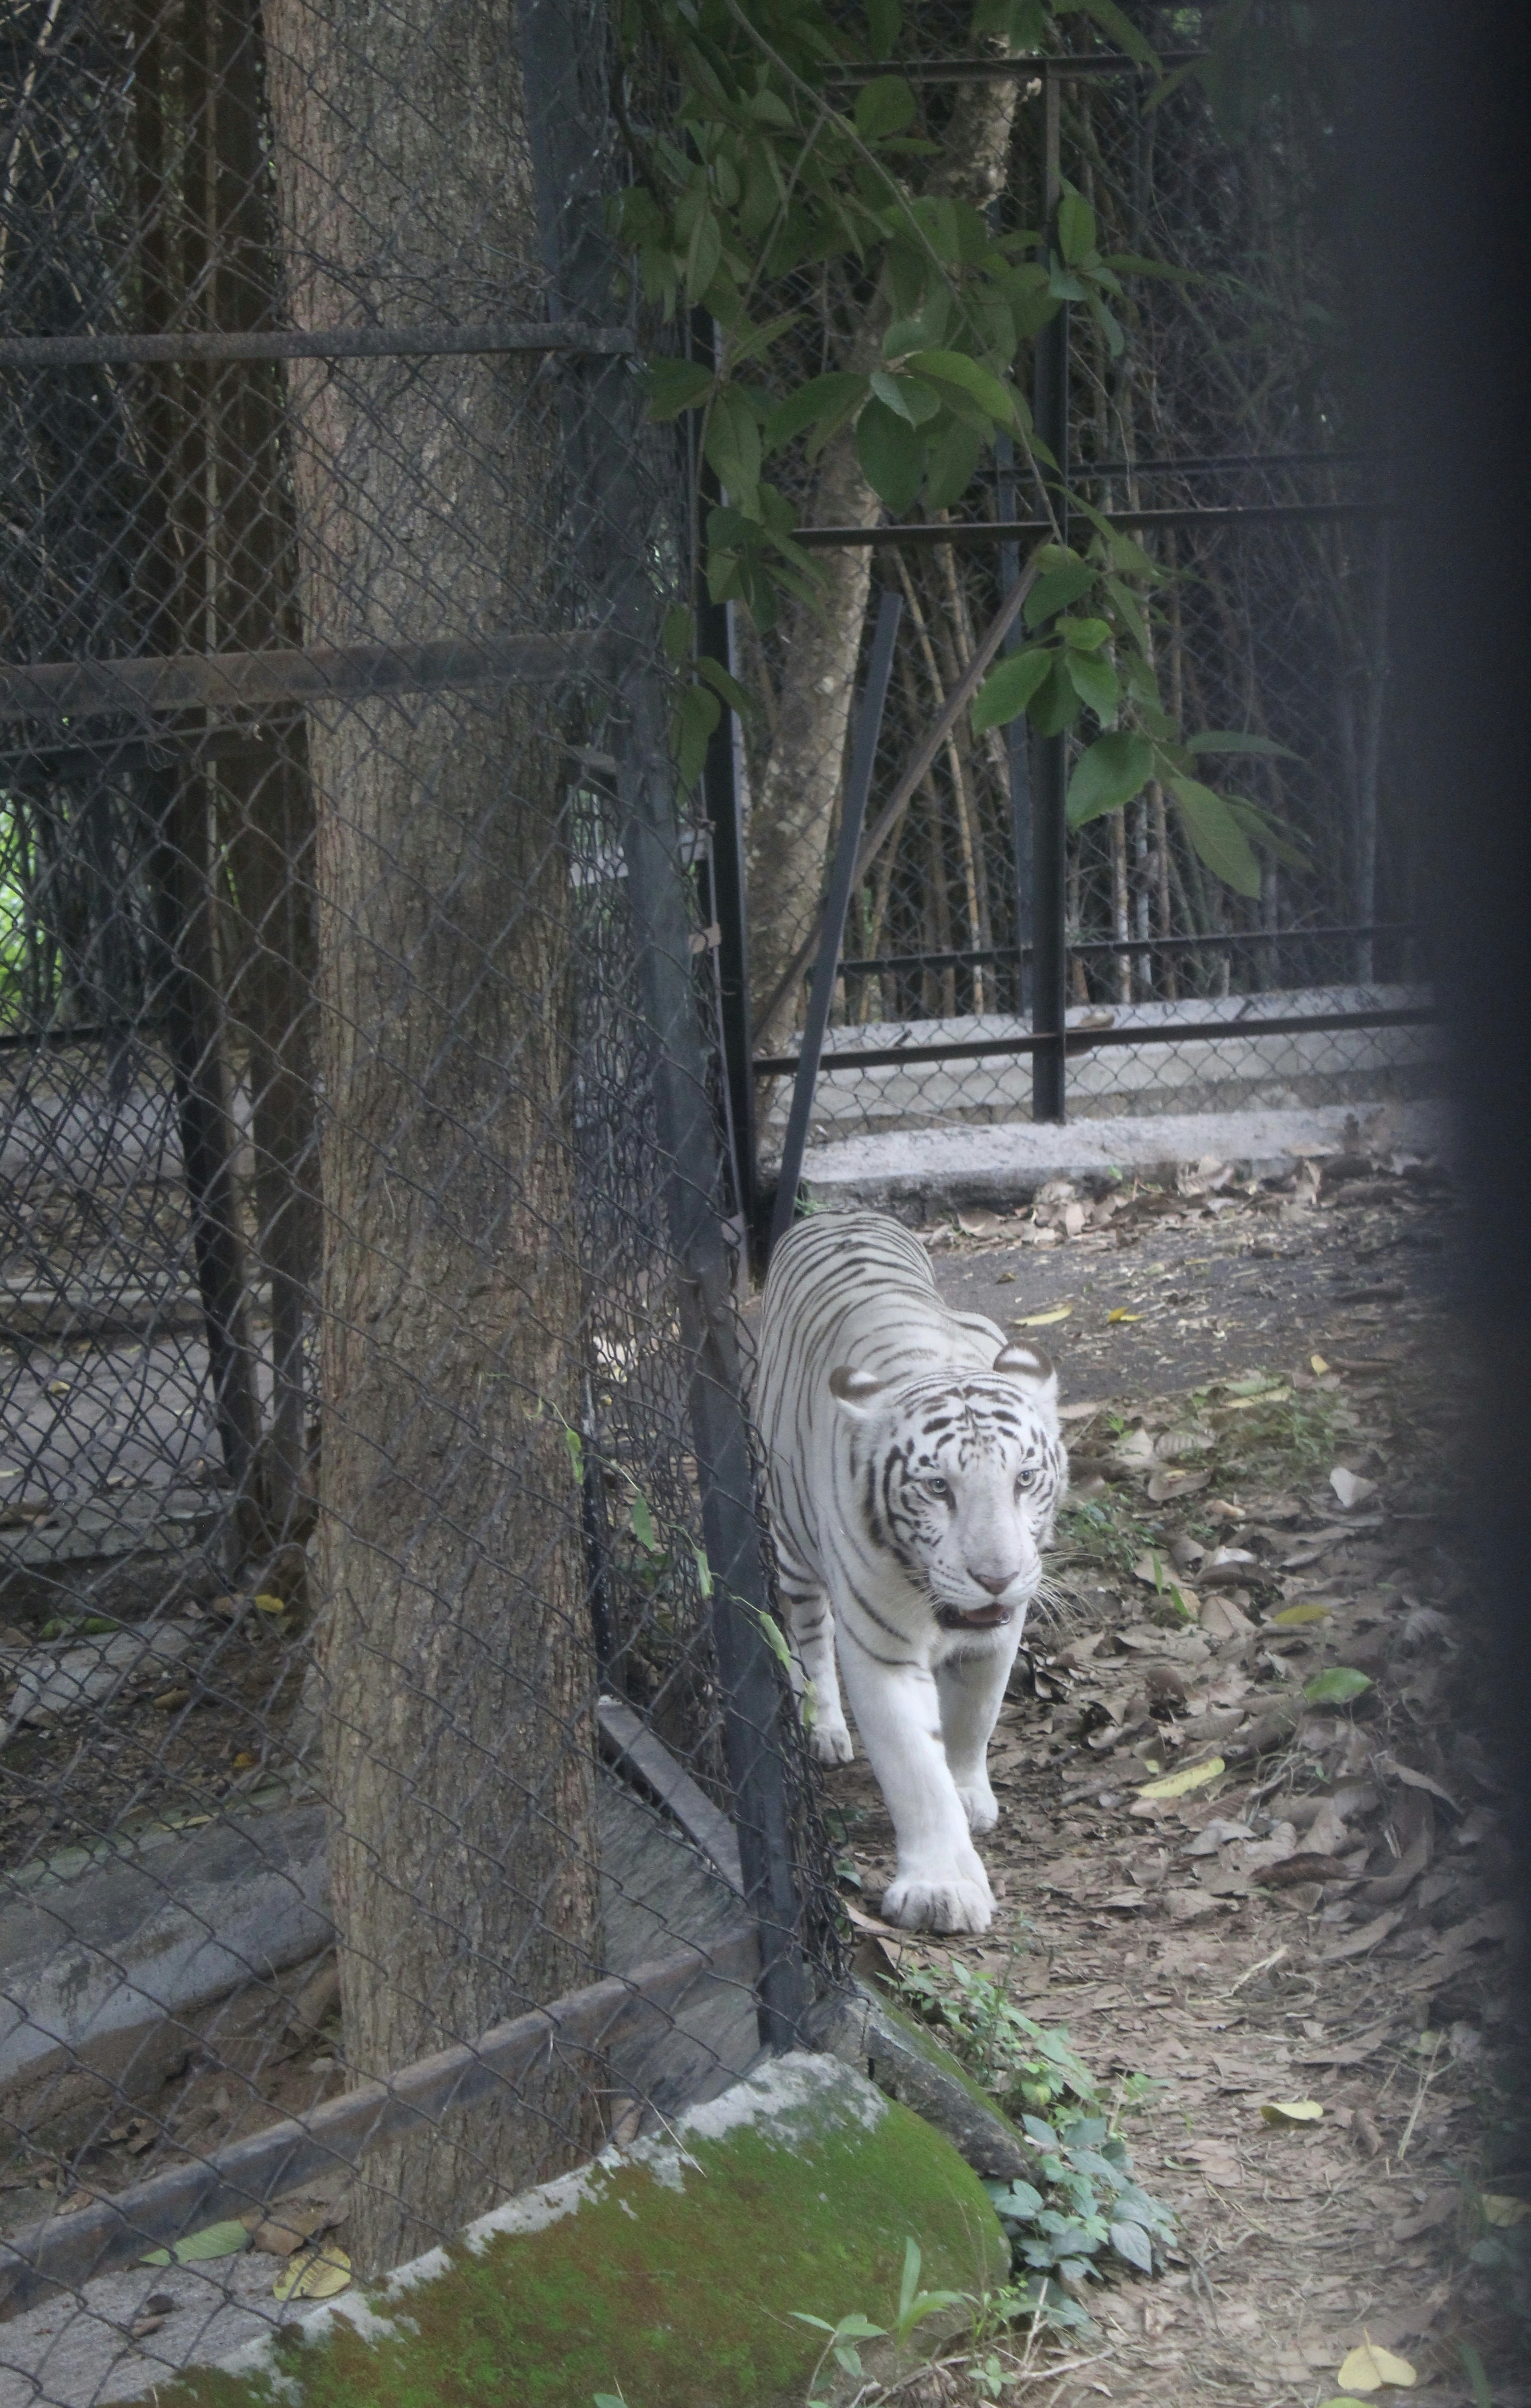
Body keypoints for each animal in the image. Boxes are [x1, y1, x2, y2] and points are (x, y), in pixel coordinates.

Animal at [754, 1208, 1067, 1935]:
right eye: (936, 1488)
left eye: (1024, 1479)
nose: (995, 1576)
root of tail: (837, 1213)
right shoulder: (880, 1649)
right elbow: (914, 1769)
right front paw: (941, 1890)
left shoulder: (997, 1633)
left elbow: (973, 1717)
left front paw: (969, 1792)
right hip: (792, 1547)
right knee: (810, 1640)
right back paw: (825, 1729)